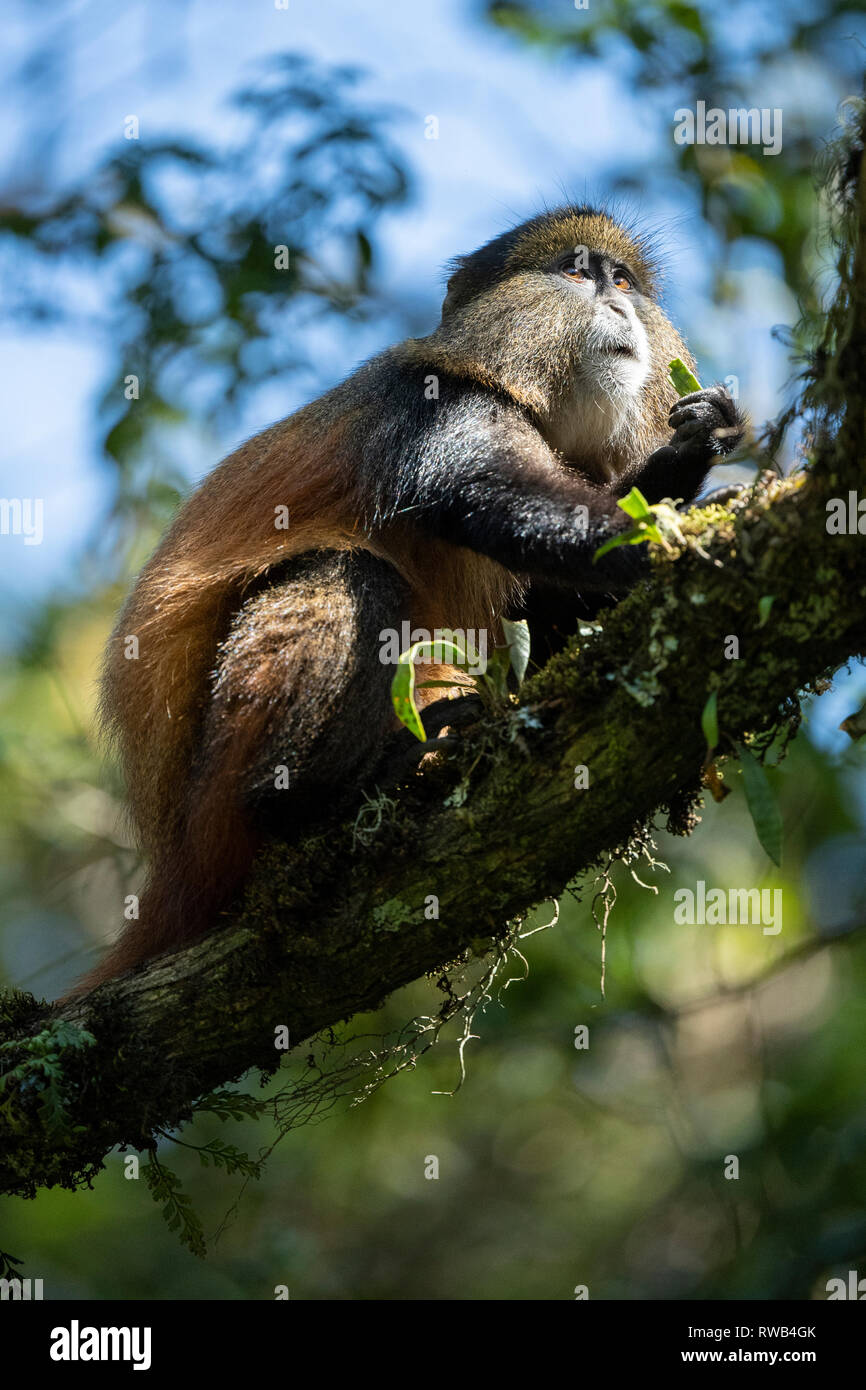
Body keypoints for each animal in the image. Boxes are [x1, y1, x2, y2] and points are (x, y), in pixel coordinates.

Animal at [71, 205, 745, 994]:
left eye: (625, 281)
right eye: (577, 274)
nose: (618, 306)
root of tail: (171, 867)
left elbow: (545, 598)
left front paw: (694, 451)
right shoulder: (436, 406)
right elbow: (498, 497)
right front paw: (680, 540)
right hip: (216, 800)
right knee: (354, 574)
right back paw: (307, 798)